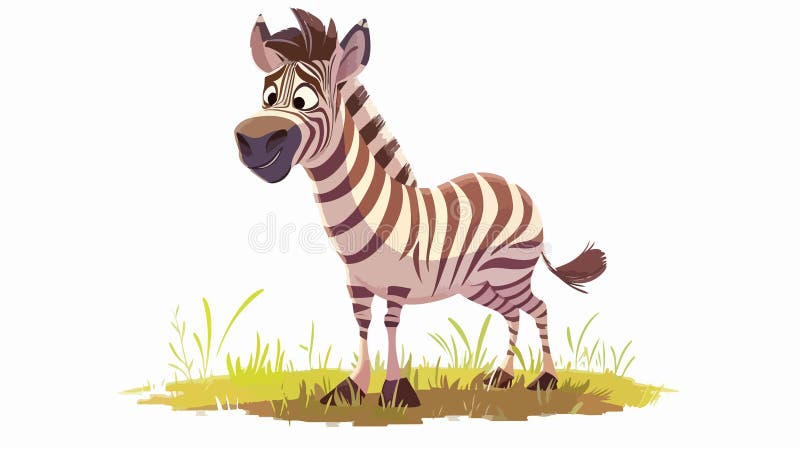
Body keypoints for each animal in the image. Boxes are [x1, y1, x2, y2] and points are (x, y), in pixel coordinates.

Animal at [234, 9, 607, 407]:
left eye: (304, 101)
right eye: (268, 97)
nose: (252, 143)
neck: (365, 213)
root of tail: (516, 187)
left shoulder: (397, 282)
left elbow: (390, 324)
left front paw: (395, 390)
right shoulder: (357, 282)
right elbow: (362, 324)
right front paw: (353, 386)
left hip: (511, 271)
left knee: (539, 308)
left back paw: (546, 379)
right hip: (480, 282)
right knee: (513, 314)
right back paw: (501, 376)